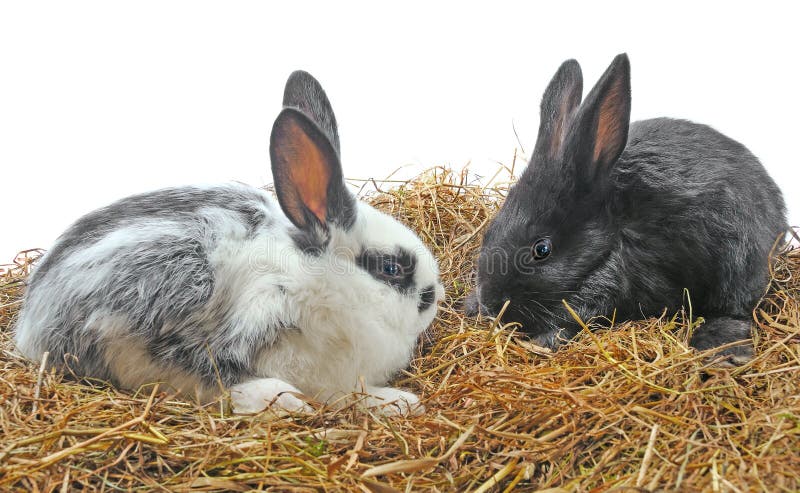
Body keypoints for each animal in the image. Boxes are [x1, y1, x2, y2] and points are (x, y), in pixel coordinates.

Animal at [14, 70, 445, 415]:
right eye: (390, 268)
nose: (434, 296)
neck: (311, 282)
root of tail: (28, 326)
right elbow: (216, 376)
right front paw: (395, 401)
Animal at [465, 54, 787, 363]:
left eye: (541, 249)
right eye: (491, 230)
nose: (489, 303)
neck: (612, 234)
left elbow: (575, 316)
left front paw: (544, 341)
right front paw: (469, 305)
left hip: (738, 262)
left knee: (734, 310)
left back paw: (720, 351)